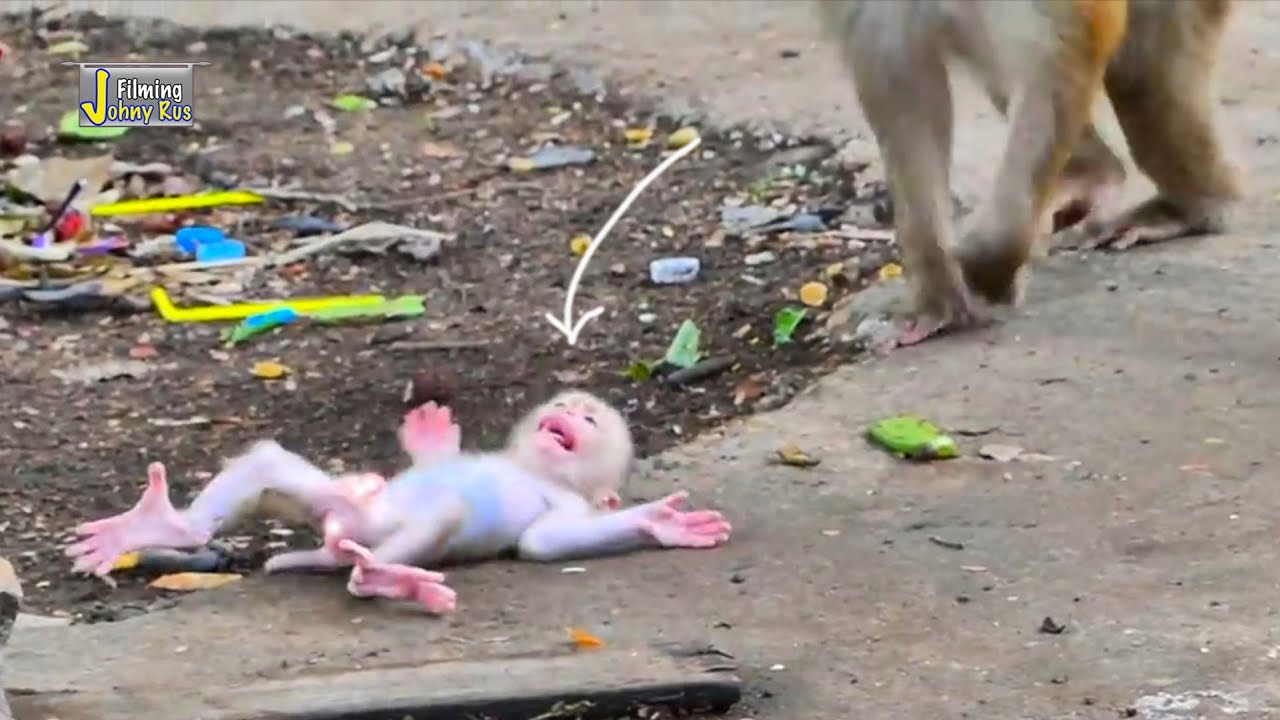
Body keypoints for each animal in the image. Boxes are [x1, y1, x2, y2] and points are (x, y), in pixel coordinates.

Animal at [66, 390, 731, 614]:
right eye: (562, 406)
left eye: (590, 420)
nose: (568, 413)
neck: (532, 466)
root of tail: (337, 534)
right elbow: (435, 461)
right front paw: (432, 435)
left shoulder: (567, 504)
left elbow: (543, 542)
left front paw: (659, 521)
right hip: (327, 505)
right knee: (269, 462)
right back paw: (159, 527)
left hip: (369, 532)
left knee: (429, 523)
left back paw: (382, 579)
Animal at [815, 0, 1244, 346]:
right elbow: (895, 72)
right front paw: (938, 299)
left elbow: (1068, 36)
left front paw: (989, 264)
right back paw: (1090, 172)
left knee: (1141, 70)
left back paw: (1196, 206)